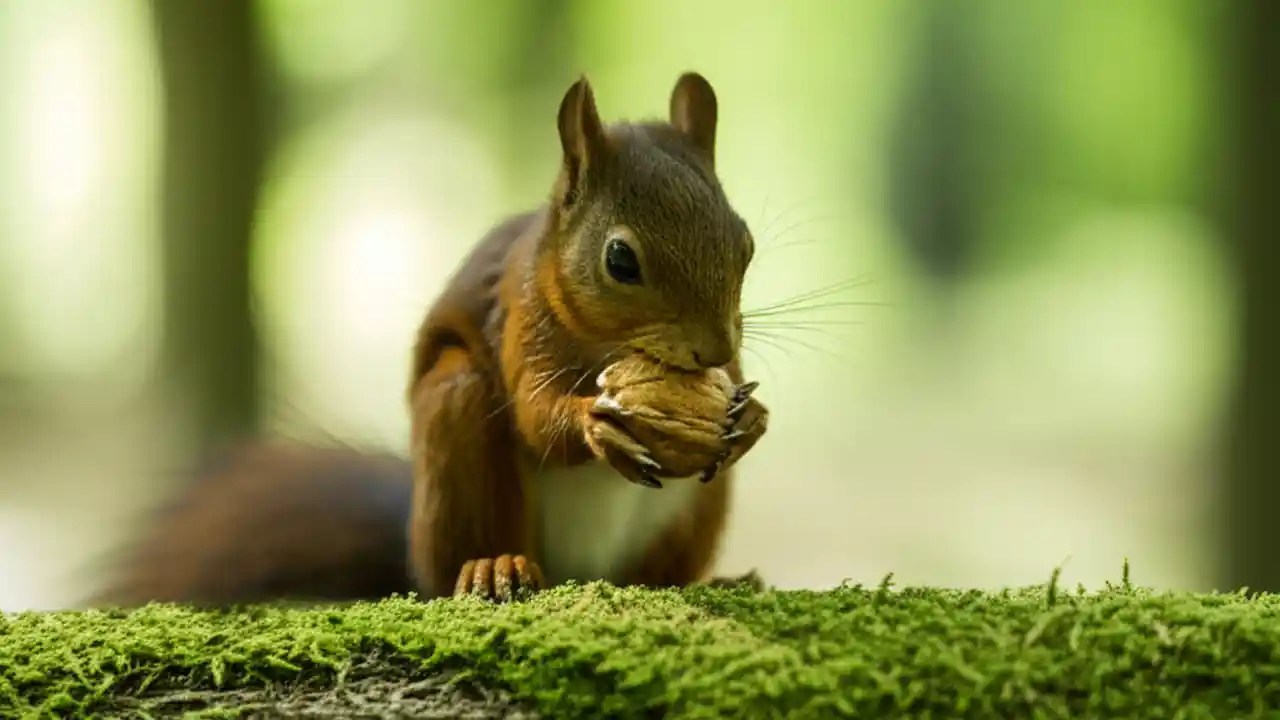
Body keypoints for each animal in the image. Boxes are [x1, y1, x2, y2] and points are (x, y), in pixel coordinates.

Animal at [94, 71, 768, 607]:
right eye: (621, 261)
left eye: (746, 242)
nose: (714, 351)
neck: (612, 346)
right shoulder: (518, 315)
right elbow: (535, 415)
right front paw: (594, 423)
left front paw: (753, 415)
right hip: (456, 421)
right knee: (456, 559)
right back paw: (493, 567)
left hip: (693, 509)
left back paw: (703, 580)